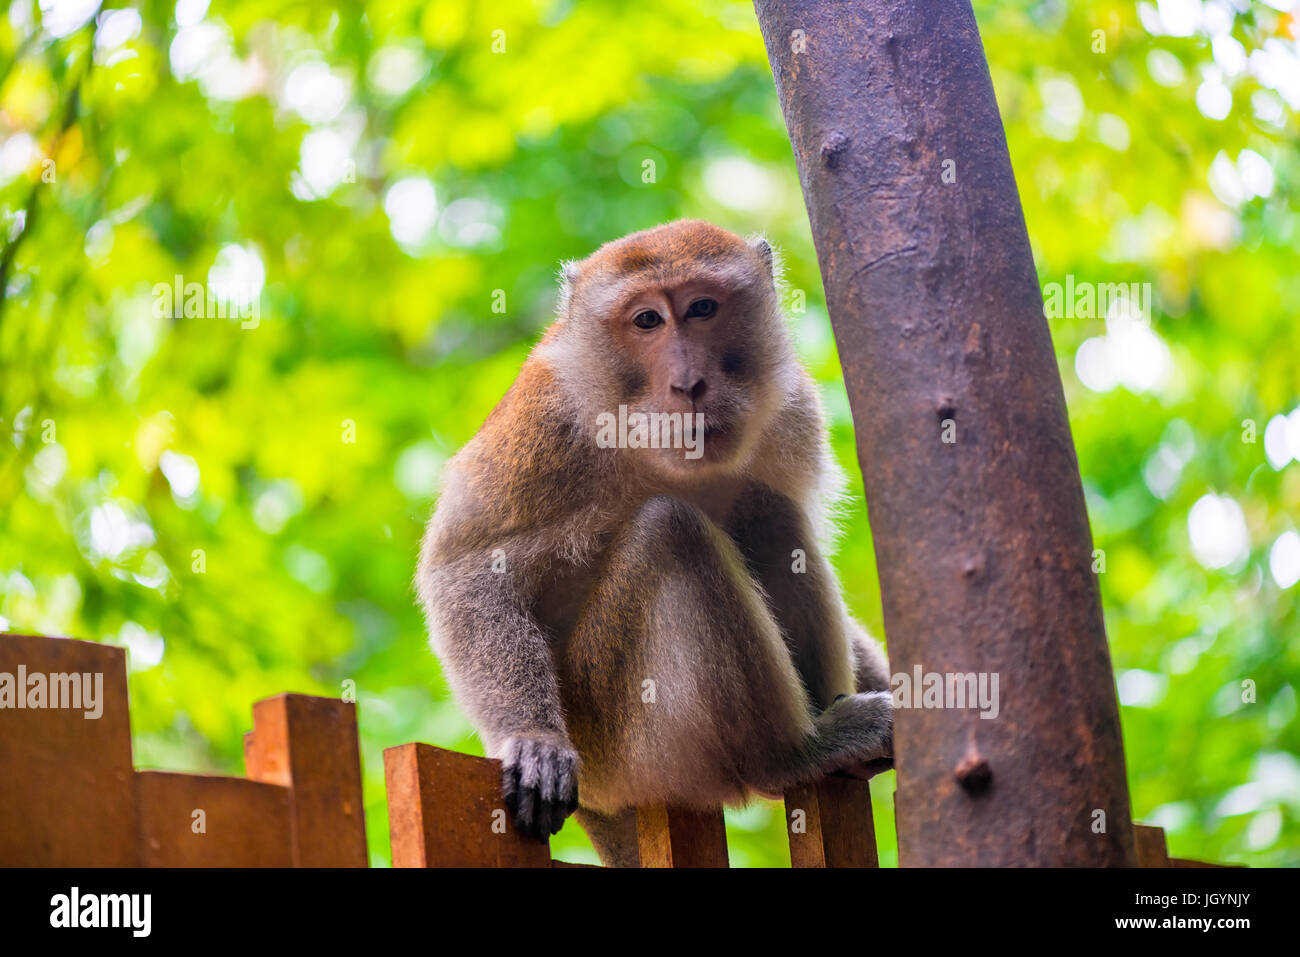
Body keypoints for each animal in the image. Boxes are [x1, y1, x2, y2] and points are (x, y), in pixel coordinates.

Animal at [416, 220, 892, 867]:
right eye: (647, 321)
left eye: (701, 309)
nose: (688, 382)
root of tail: (599, 806)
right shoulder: (547, 423)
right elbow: (466, 567)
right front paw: (533, 739)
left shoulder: (793, 406)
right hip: (613, 737)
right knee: (673, 529)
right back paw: (794, 756)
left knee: (768, 512)